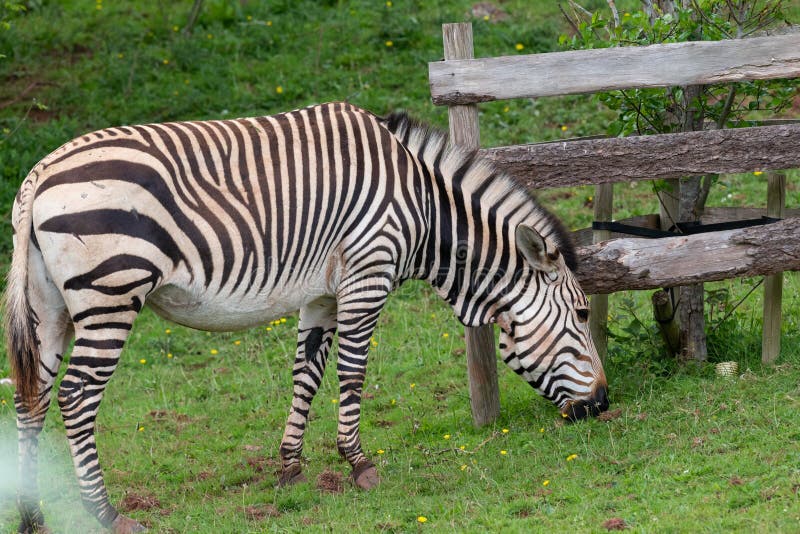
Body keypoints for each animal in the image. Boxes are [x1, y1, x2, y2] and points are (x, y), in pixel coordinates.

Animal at [4, 102, 608, 533]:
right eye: (582, 312)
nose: (602, 405)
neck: (421, 206)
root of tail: (40, 173)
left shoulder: (322, 294)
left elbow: (307, 374)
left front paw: (290, 467)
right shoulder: (368, 275)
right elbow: (353, 372)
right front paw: (360, 465)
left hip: (49, 309)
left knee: (32, 397)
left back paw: (33, 518)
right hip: (110, 294)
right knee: (76, 397)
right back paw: (107, 514)